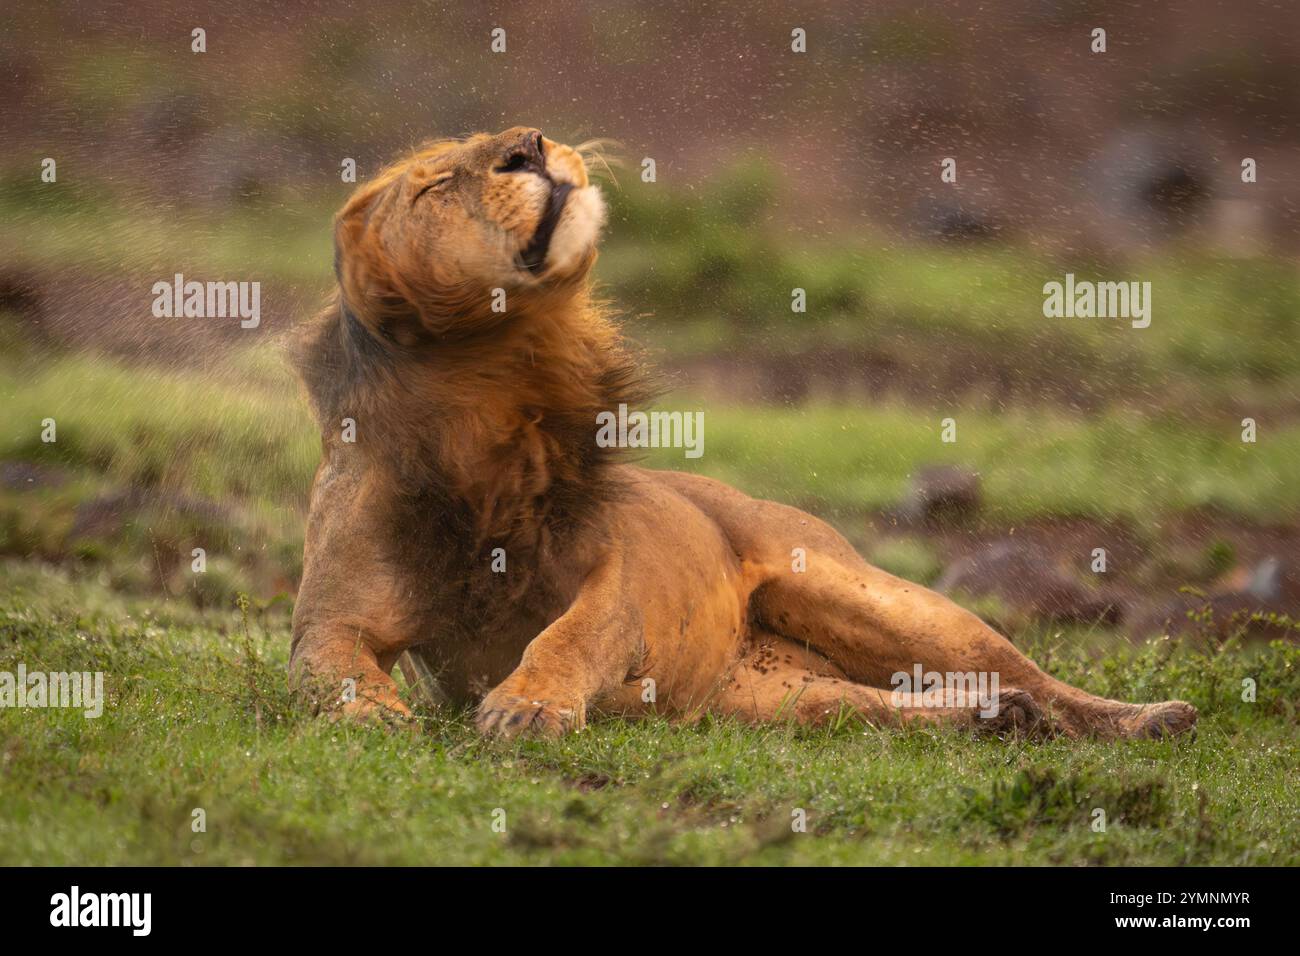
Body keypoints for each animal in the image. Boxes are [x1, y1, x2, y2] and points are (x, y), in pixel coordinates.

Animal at [289, 127, 1198, 741]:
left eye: (519, 139)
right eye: (437, 184)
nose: (530, 144)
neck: (496, 388)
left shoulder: (615, 580)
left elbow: (568, 635)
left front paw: (526, 705)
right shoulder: (331, 617)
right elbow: (326, 667)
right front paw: (373, 714)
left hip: (888, 604)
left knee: (1035, 673)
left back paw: (1148, 718)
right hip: (778, 698)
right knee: (866, 707)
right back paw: (993, 717)